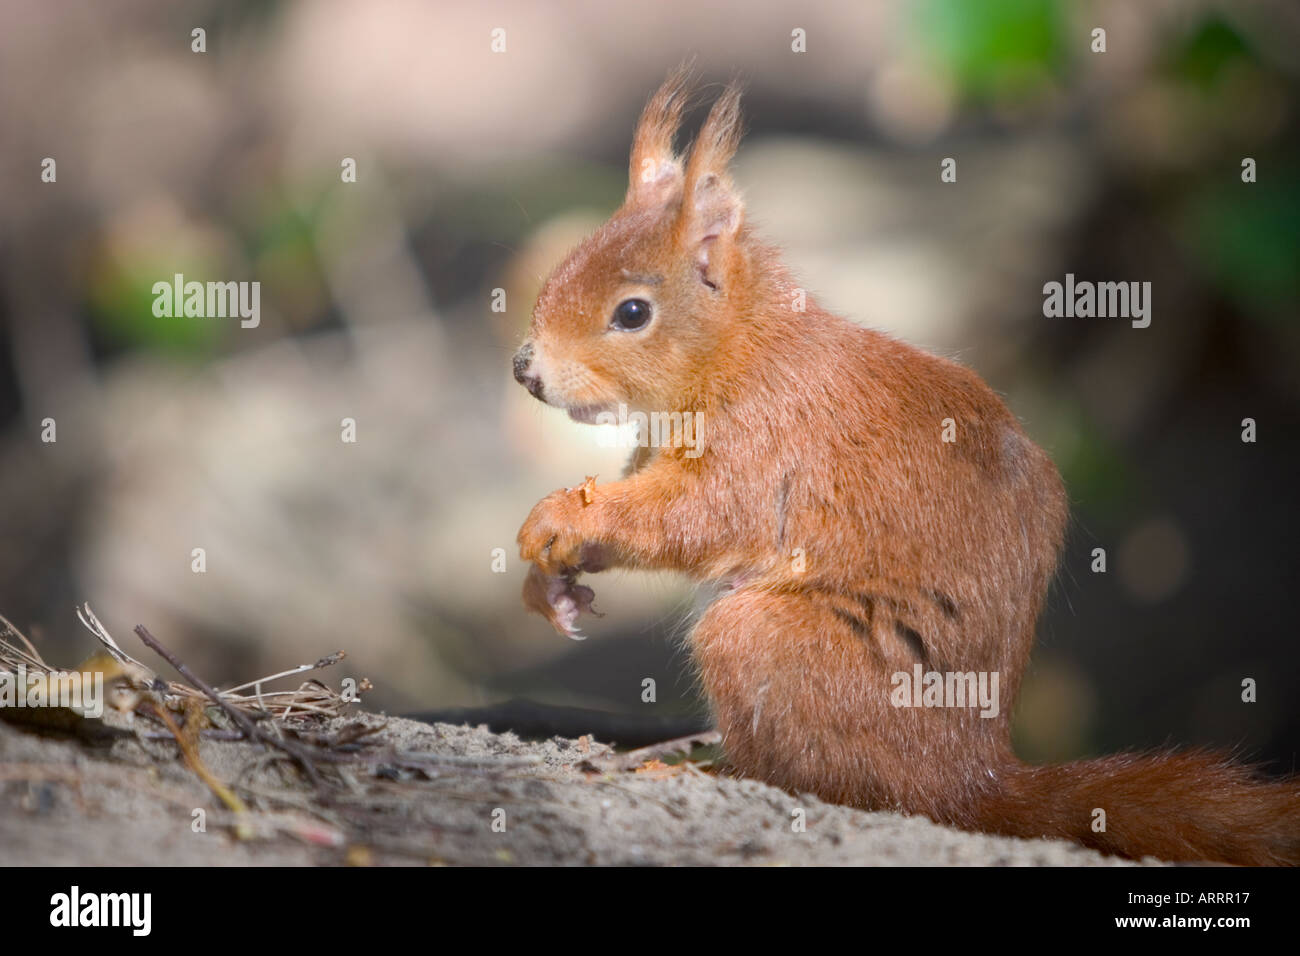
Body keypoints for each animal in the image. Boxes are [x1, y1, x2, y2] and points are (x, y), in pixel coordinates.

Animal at [511, 67, 1300, 865]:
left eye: (632, 312)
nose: (526, 371)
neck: (740, 350)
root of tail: (968, 775)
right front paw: (553, 583)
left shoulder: (763, 439)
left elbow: (694, 515)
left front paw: (559, 518)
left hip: (758, 639)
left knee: (835, 782)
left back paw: (696, 768)